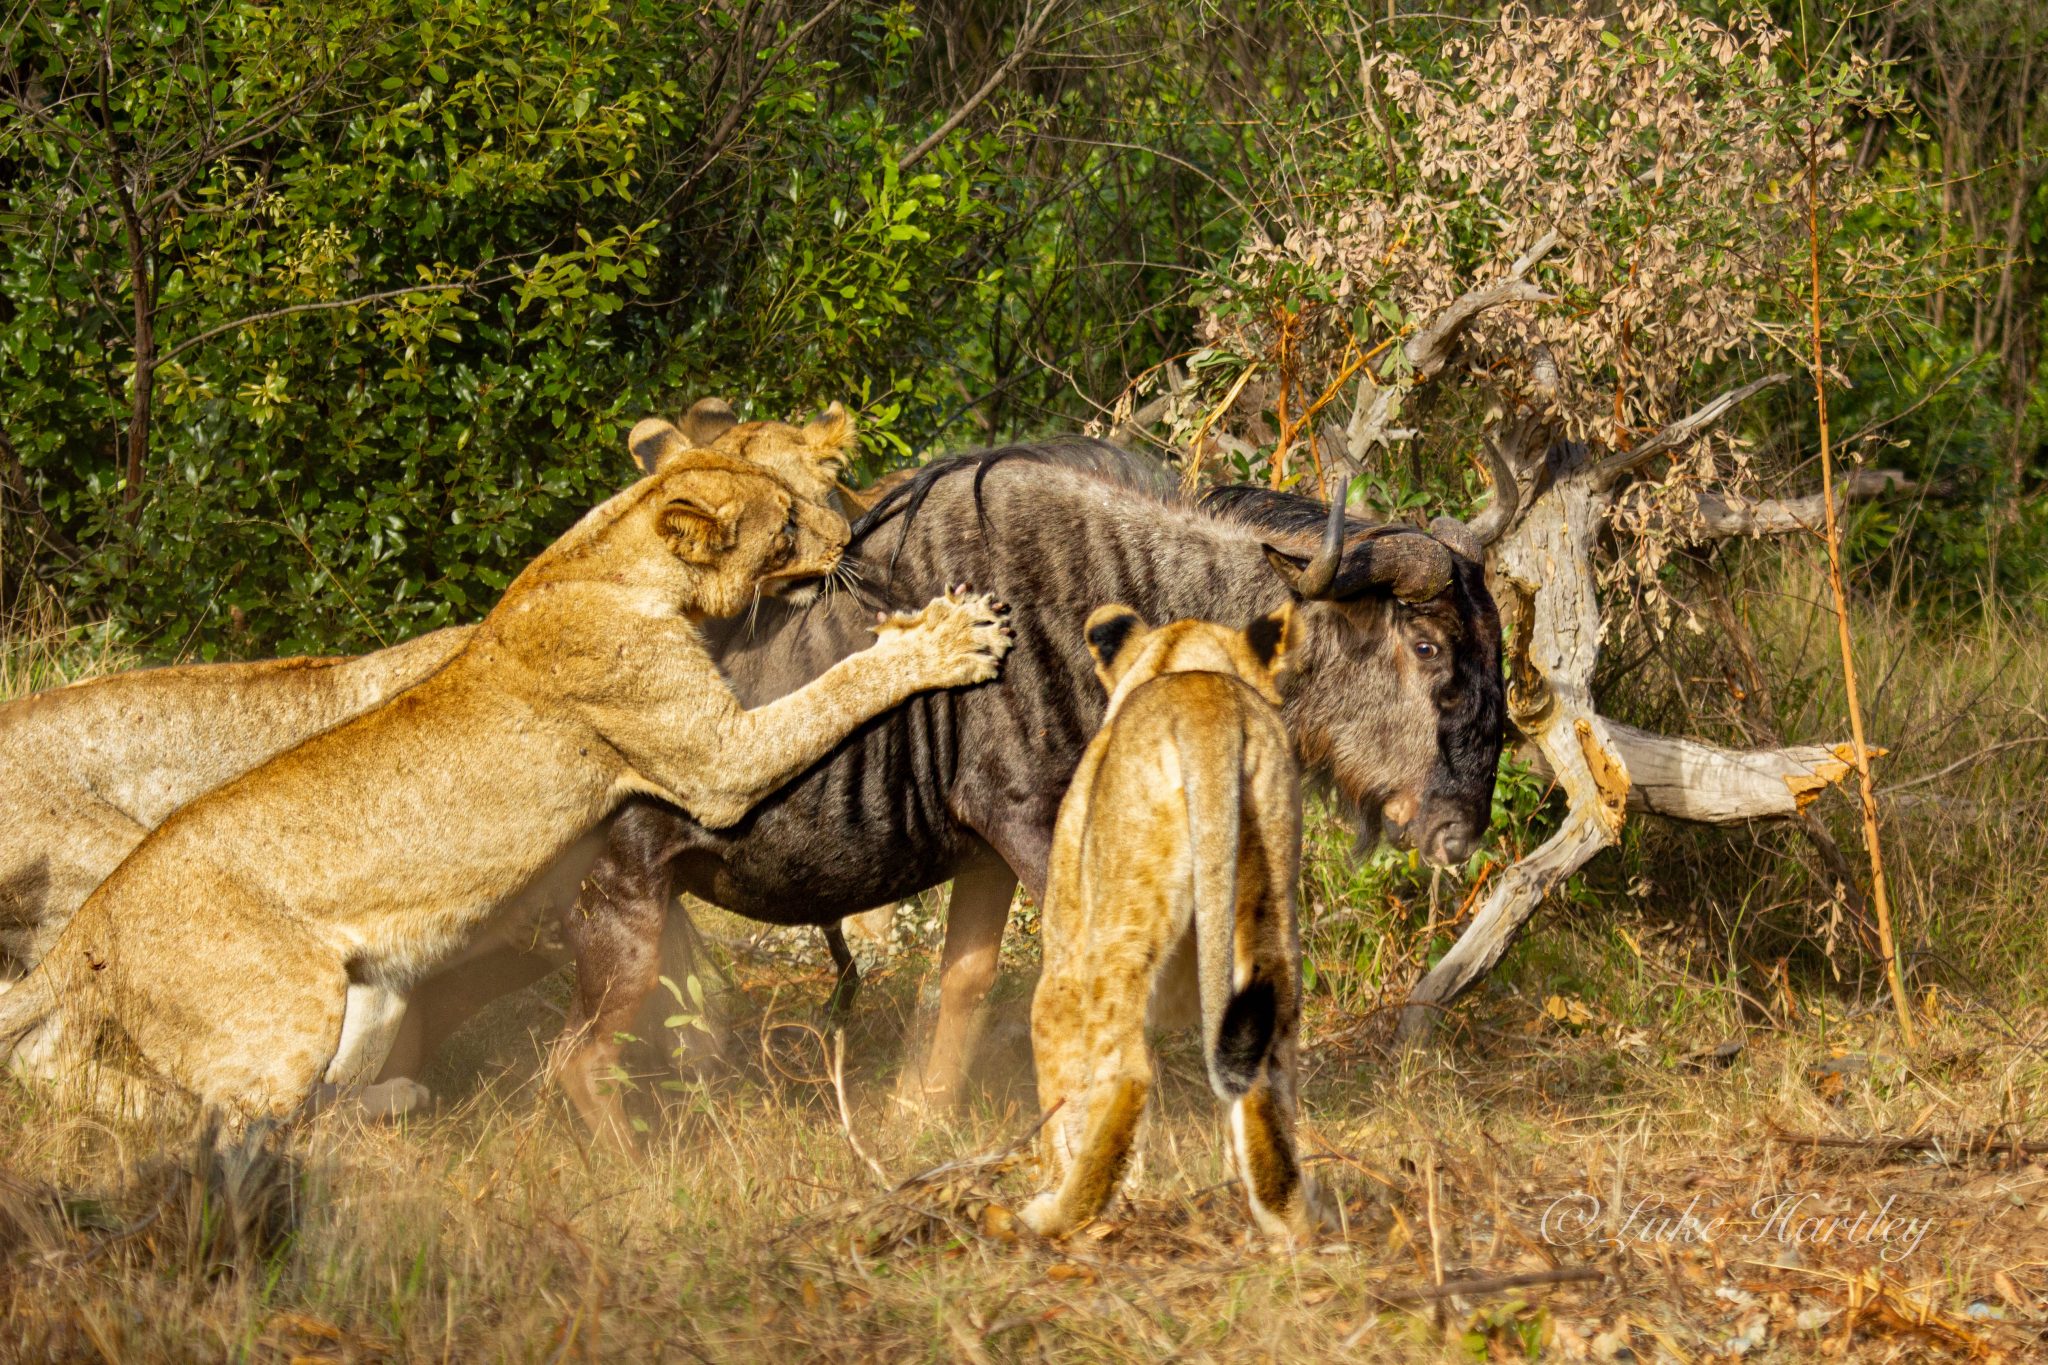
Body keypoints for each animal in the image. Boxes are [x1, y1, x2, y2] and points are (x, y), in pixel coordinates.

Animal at [0, 444, 1011, 1118]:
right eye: (790, 524)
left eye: (811, 494)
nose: (851, 536)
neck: (608, 557)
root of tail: (101, 916)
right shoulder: (717, 757)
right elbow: (834, 690)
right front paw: (947, 639)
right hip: (282, 1011)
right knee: (225, 1121)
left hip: (368, 1000)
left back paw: (396, 1103)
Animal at [1020, 603, 1328, 1246]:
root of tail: (1205, 702)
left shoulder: (1061, 965)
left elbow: (1060, 1097)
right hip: (1269, 901)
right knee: (1265, 1070)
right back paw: (1288, 1217)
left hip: (1121, 923)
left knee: (1126, 1073)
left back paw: (1060, 1215)